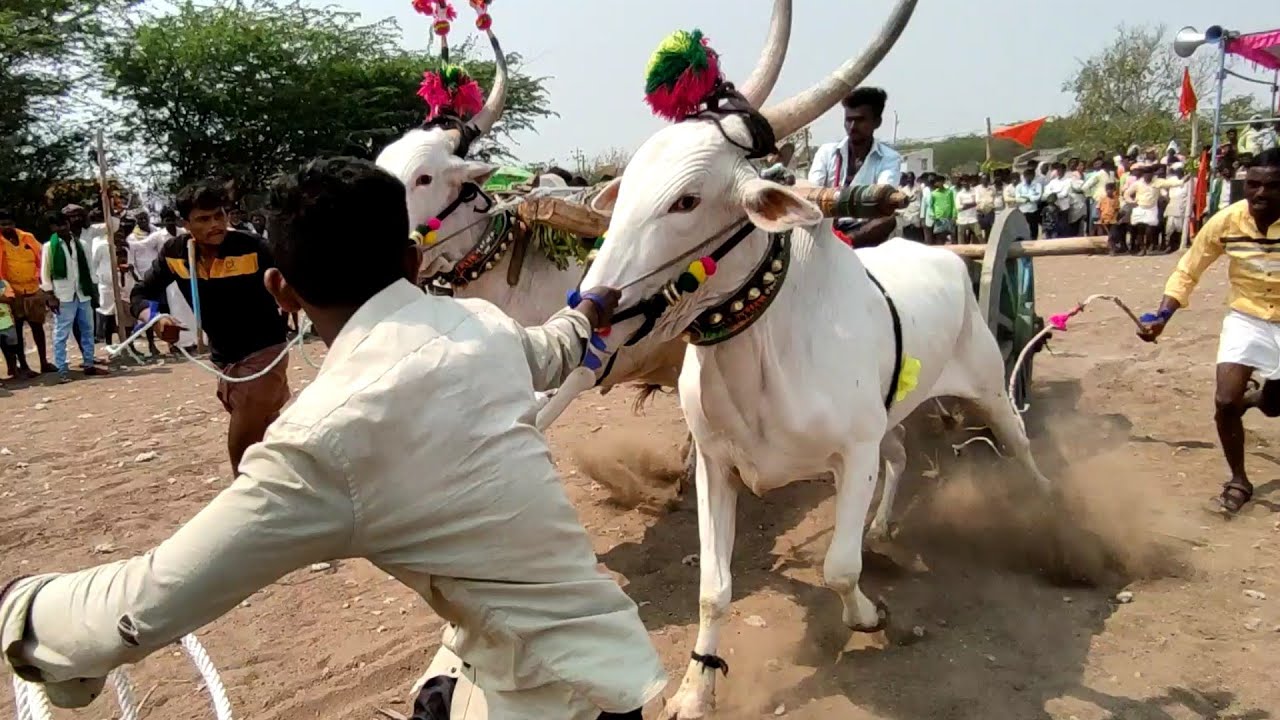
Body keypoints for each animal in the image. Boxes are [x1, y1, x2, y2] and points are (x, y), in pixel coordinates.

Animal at [564, 1, 1049, 716]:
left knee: (1017, 440)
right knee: (902, 456)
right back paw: (884, 526)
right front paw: (696, 688)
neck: (759, 360)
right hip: (892, 418)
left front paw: (868, 616)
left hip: (985, 383)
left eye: (686, 200)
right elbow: (714, 590)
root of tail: (940, 254)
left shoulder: (852, 452)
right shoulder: (716, 465)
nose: (594, 307)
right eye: (623, 195)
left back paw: (1047, 507)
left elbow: (838, 567)